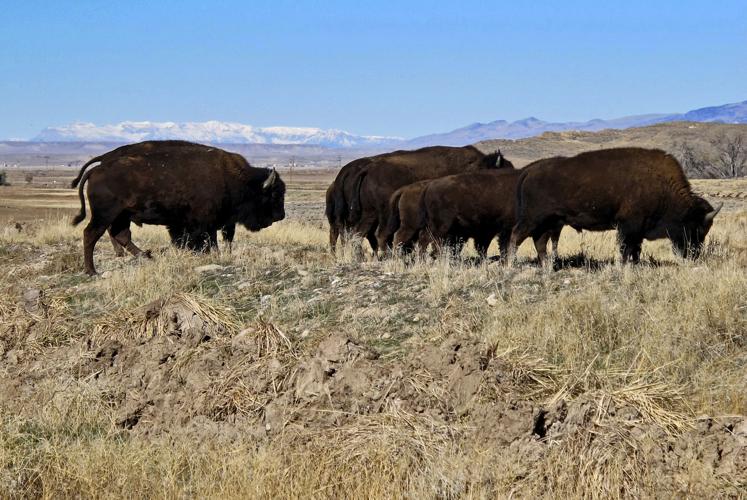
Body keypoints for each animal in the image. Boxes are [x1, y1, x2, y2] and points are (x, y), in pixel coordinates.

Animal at [72, 141, 285, 275]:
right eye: (274, 194)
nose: (280, 216)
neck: (235, 179)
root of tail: (97, 169)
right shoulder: (205, 223)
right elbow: (210, 240)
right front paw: (212, 255)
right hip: (105, 215)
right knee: (91, 234)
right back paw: (92, 271)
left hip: (121, 215)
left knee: (121, 235)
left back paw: (147, 256)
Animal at [509, 148, 722, 264]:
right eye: (695, 229)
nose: (693, 255)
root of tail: (529, 170)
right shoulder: (628, 226)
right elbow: (625, 249)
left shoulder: (637, 229)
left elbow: (635, 249)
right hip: (533, 219)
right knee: (516, 236)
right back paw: (510, 265)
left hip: (550, 222)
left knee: (540, 242)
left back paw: (547, 267)